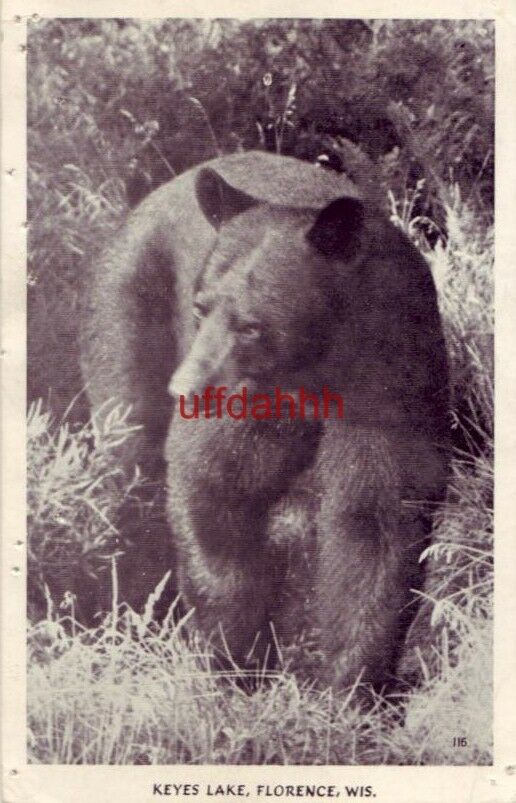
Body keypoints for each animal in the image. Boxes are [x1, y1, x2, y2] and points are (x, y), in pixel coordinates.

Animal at [81, 151, 450, 692]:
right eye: (200, 308)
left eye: (252, 326)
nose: (185, 390)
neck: (314, 366)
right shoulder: (246, 397)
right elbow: (213, 480)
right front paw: (236, 660)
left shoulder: (391, 375)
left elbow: (376, 514)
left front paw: (355, 685)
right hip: (128, 302)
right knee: (130, 455)